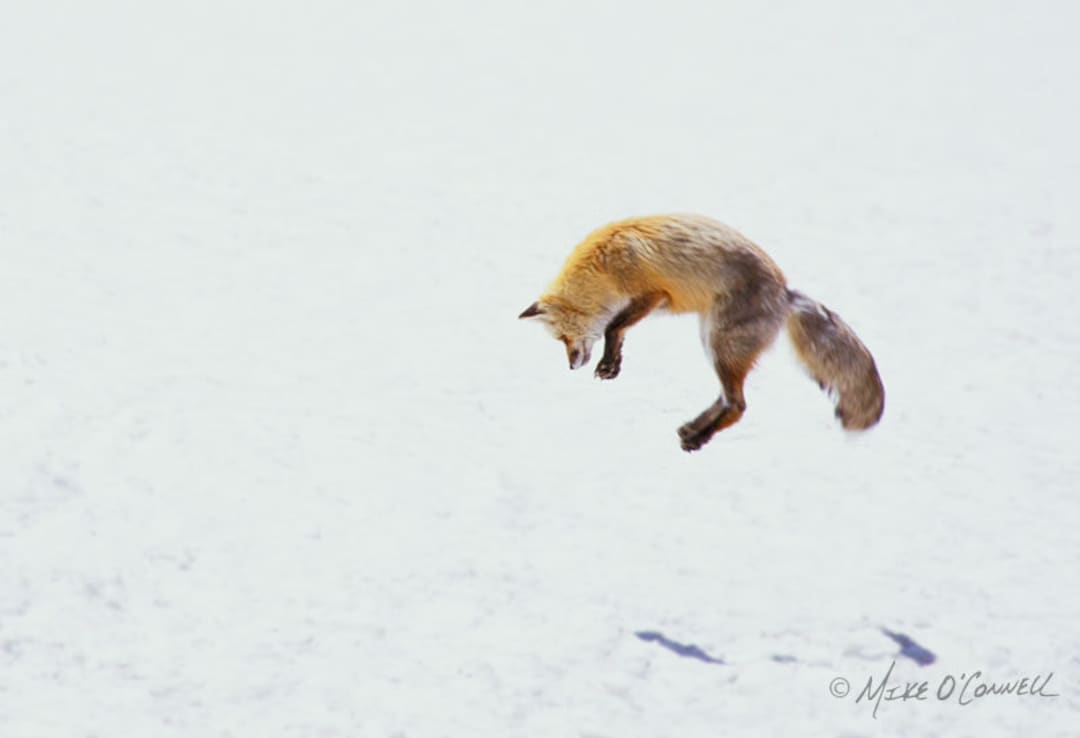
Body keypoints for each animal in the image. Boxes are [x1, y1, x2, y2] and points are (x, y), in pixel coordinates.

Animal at [519, 214, 884, 451]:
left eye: (563, 339)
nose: (571, 366)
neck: (602, 266)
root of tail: (785, 294)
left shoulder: (655, 294)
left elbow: (613, 325)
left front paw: (608, 363)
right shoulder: (644, 302)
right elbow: (618, 330)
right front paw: (614, 363)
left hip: (720, 344)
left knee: (738, 405)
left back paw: (698, 439)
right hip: (713, 342)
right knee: (727, 399)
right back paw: (693, 429)